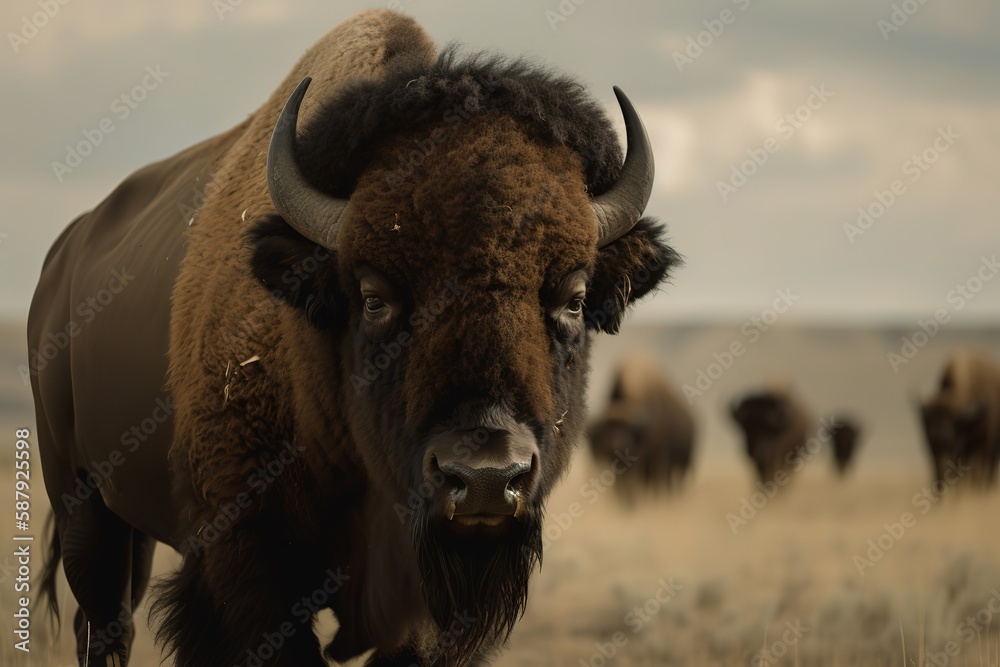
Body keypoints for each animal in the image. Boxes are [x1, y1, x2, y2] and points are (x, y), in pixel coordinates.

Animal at [28, 10, 680, 667]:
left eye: (574, 299)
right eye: (373, 298)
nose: (487, 480)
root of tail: (60, 261)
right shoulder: (244, 565)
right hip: (82, 504)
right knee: (104, 620)